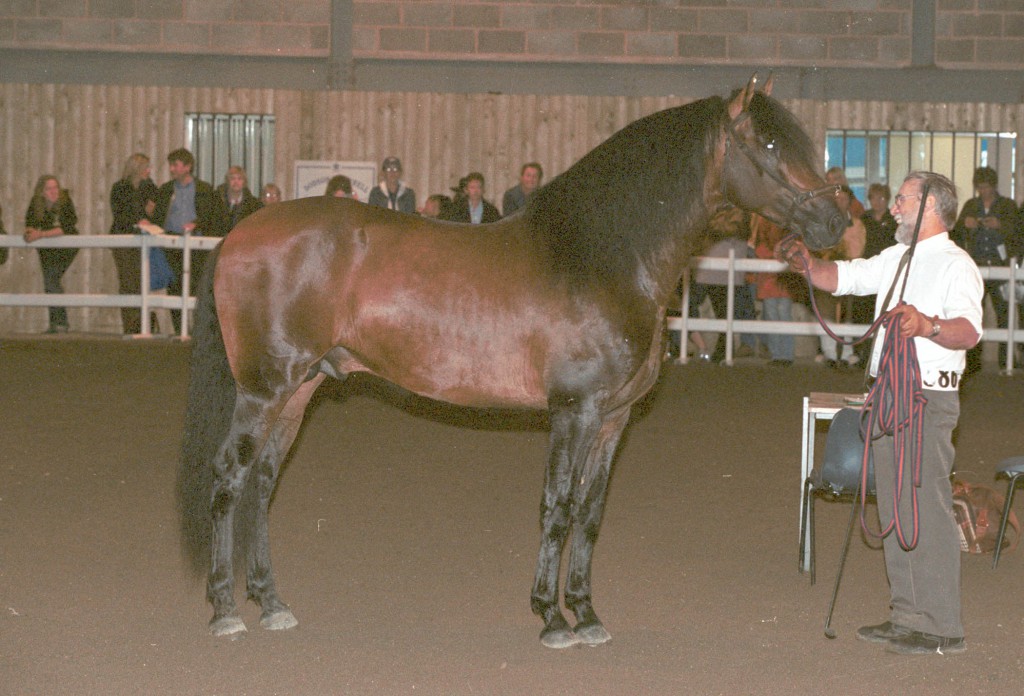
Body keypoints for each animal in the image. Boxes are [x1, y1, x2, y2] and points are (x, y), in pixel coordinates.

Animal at [177, 76, 845, 648]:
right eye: (768, 144)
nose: (836, 221)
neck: (602, 253)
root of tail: (238, 234)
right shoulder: (574, 411)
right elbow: (558, 506)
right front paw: (551, 619)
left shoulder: (614, 419)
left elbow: (591, 513)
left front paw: (588, 613)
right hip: (264, 390)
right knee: (229, 478)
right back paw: (226, 610)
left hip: (299, 390)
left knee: (262, 483)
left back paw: (272, 604)